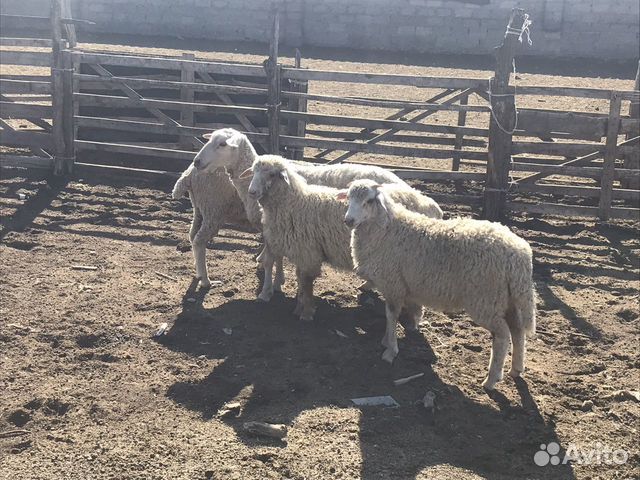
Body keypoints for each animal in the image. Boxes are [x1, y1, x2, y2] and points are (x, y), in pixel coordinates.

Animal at [191, 127, 424, 301]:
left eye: (222, 144)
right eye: (210, 140)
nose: (196, 161)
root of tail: (417, 194)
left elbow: (273, 257)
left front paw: (274, 281)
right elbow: (276, 256)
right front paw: (277, 280)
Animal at [242, 157, 443, 323]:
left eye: (271, 174)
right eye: (253, 171)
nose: (251, 192)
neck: (293, 202)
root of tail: (433, 206)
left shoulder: (307, 251)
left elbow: (305, 282)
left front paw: (305, 311)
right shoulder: (291, 245)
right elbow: (294, 275)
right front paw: (292, 301)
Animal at [342, 180, 536, 389]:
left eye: (369, 200)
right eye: (349, 198)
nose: (348, 220)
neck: (385, 229)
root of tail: (519, 255)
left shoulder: (393, 284)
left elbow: (391, 315)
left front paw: (390, 350)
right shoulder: (401, 286)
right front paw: (388, 340)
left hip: (485, 300)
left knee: (502, 335)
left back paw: (491, 379)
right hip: (507, 299)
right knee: (517, 331)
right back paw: (516, 369)